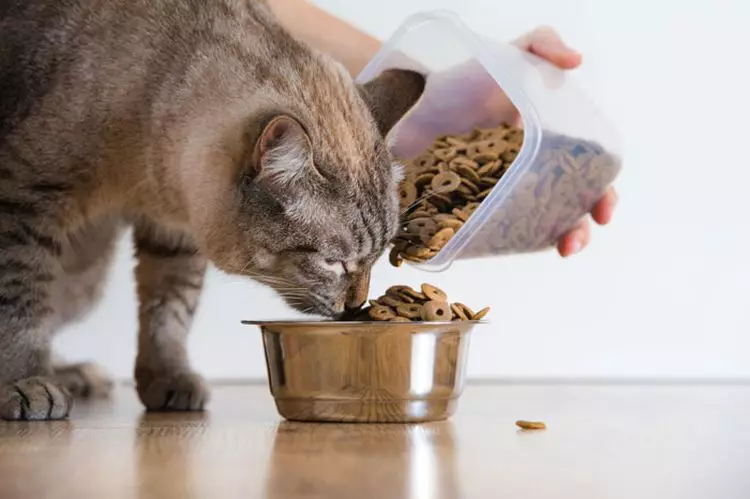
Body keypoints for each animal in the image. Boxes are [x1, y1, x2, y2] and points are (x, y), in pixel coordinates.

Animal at [0, 0, 424, 422]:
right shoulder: (23, 204)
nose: (356, 305)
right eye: (333, 263)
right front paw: (26, 382)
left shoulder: (174, 235)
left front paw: (170, 379)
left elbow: (169, 314)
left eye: (376, 258)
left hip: (84, 278)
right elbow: (19, 304)